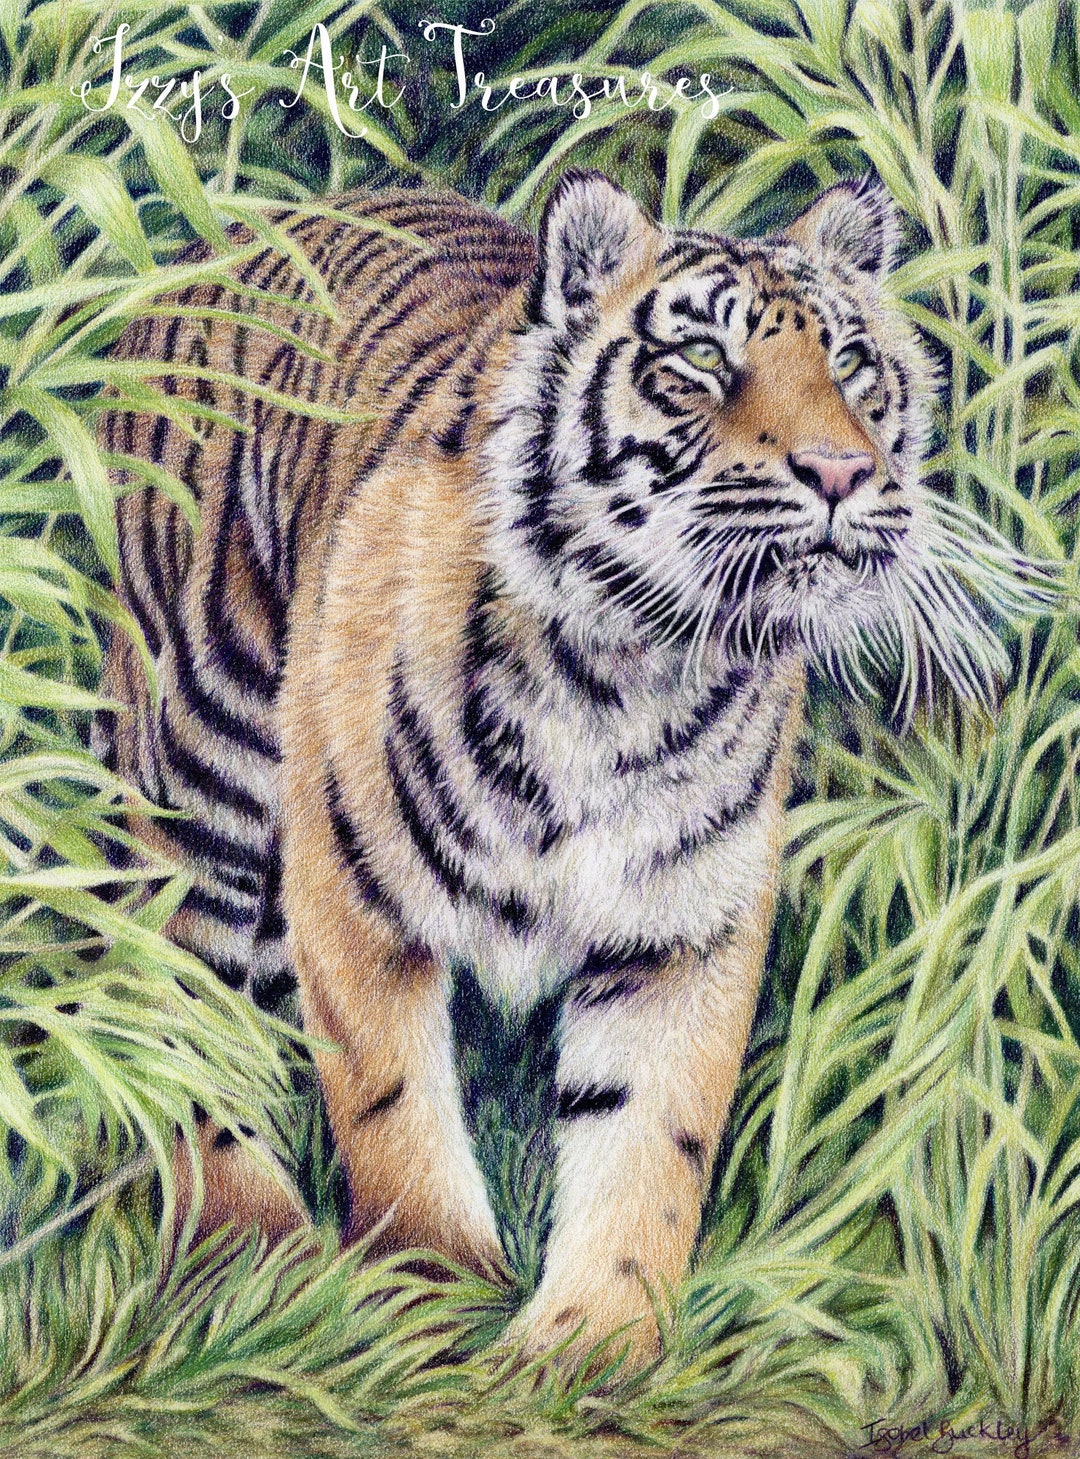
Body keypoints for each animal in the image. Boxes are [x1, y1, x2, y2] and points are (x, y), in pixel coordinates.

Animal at [96, 169, 1014, 1372]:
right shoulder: (353, 885)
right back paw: (246, 1237)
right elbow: (396, 1101)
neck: (628, 668)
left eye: (852, 364)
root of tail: (246, 230)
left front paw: (594, 1344)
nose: (842, 471)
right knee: (177, 994)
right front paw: (431, 1293)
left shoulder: (684, 921)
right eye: (700, 361)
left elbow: (648, 1134)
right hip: (199, 754)